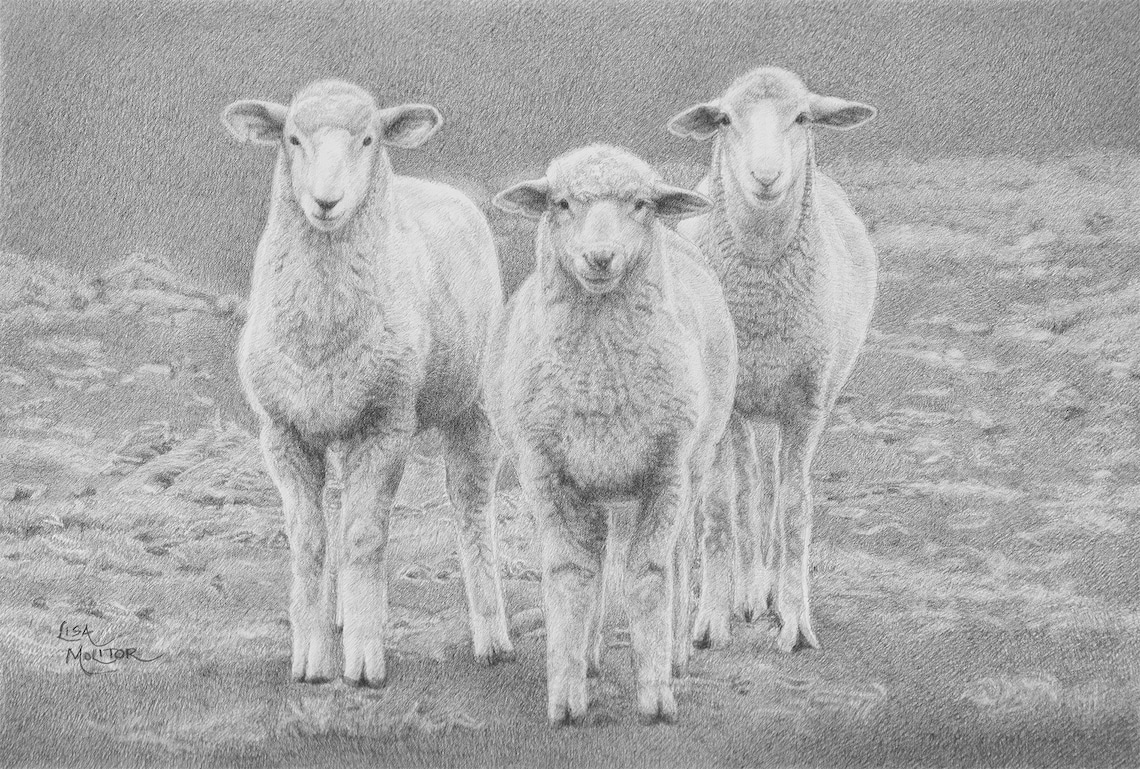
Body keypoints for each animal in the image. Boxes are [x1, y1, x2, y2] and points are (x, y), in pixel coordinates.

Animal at [220, 79, 514, 687]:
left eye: (368, 139)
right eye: (292, 138)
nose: (326, 202)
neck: (321, 331)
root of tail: (429, 185)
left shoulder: (384, 426)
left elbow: (362, 537)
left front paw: (361, 661)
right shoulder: (283, 432)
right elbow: (311, 541)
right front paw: (311, 658)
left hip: (469, 407)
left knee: (471, 507)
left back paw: (492, 640)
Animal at [489, 145, 737, 723]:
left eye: (641, 204)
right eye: (560, 203)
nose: (600, 257)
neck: (601, 378)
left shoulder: (666, 472)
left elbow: (648, 573)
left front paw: (656, 696)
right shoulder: (547, 473)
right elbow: (570, 574)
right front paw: (566, 694)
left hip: (692, 465)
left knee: (677, 554)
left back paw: (675, 654)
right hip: (598, 480)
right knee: (599, 559)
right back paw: (593, 654)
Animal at [667, 67, 878, 653]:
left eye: (802, 117)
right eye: (724, 120)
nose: (765, 177)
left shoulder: (807, 405)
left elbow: (795, 509)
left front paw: (796, 623)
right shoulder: (725, 405)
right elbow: (720, 509)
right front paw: (710, 621)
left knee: (775, 488)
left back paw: (770, 595)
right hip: (739, 406)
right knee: (747, 488)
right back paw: (747, 592)